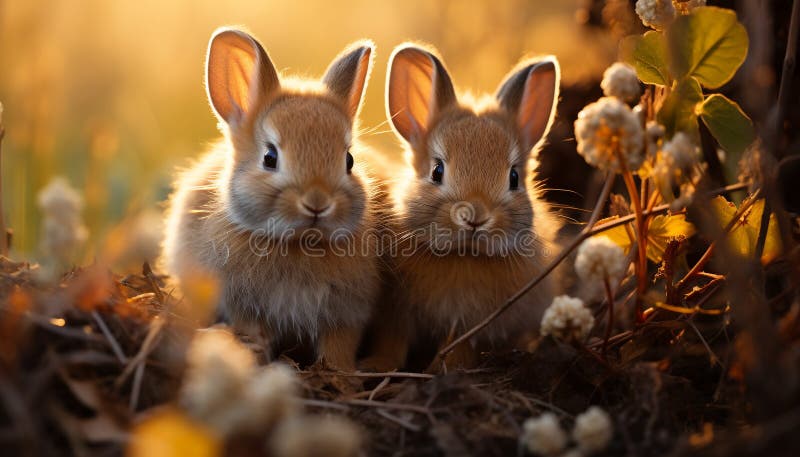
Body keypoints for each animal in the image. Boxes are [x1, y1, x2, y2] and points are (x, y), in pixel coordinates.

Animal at [161, 28, 381, 371]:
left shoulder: (346, 314)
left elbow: (339, 347)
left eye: (349, 160)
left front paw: (342, 375)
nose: (317, 202)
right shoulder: (243, 305)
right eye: (270, 157)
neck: (298, 245)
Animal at [364, 43, 562, 372]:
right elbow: (392, 340)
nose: (475, 216)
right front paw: (378, 365)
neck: (463, 255)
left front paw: (445, 371)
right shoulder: (396, 310)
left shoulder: (475, 325)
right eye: (437, 171)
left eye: (514, 177)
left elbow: (459, 348)